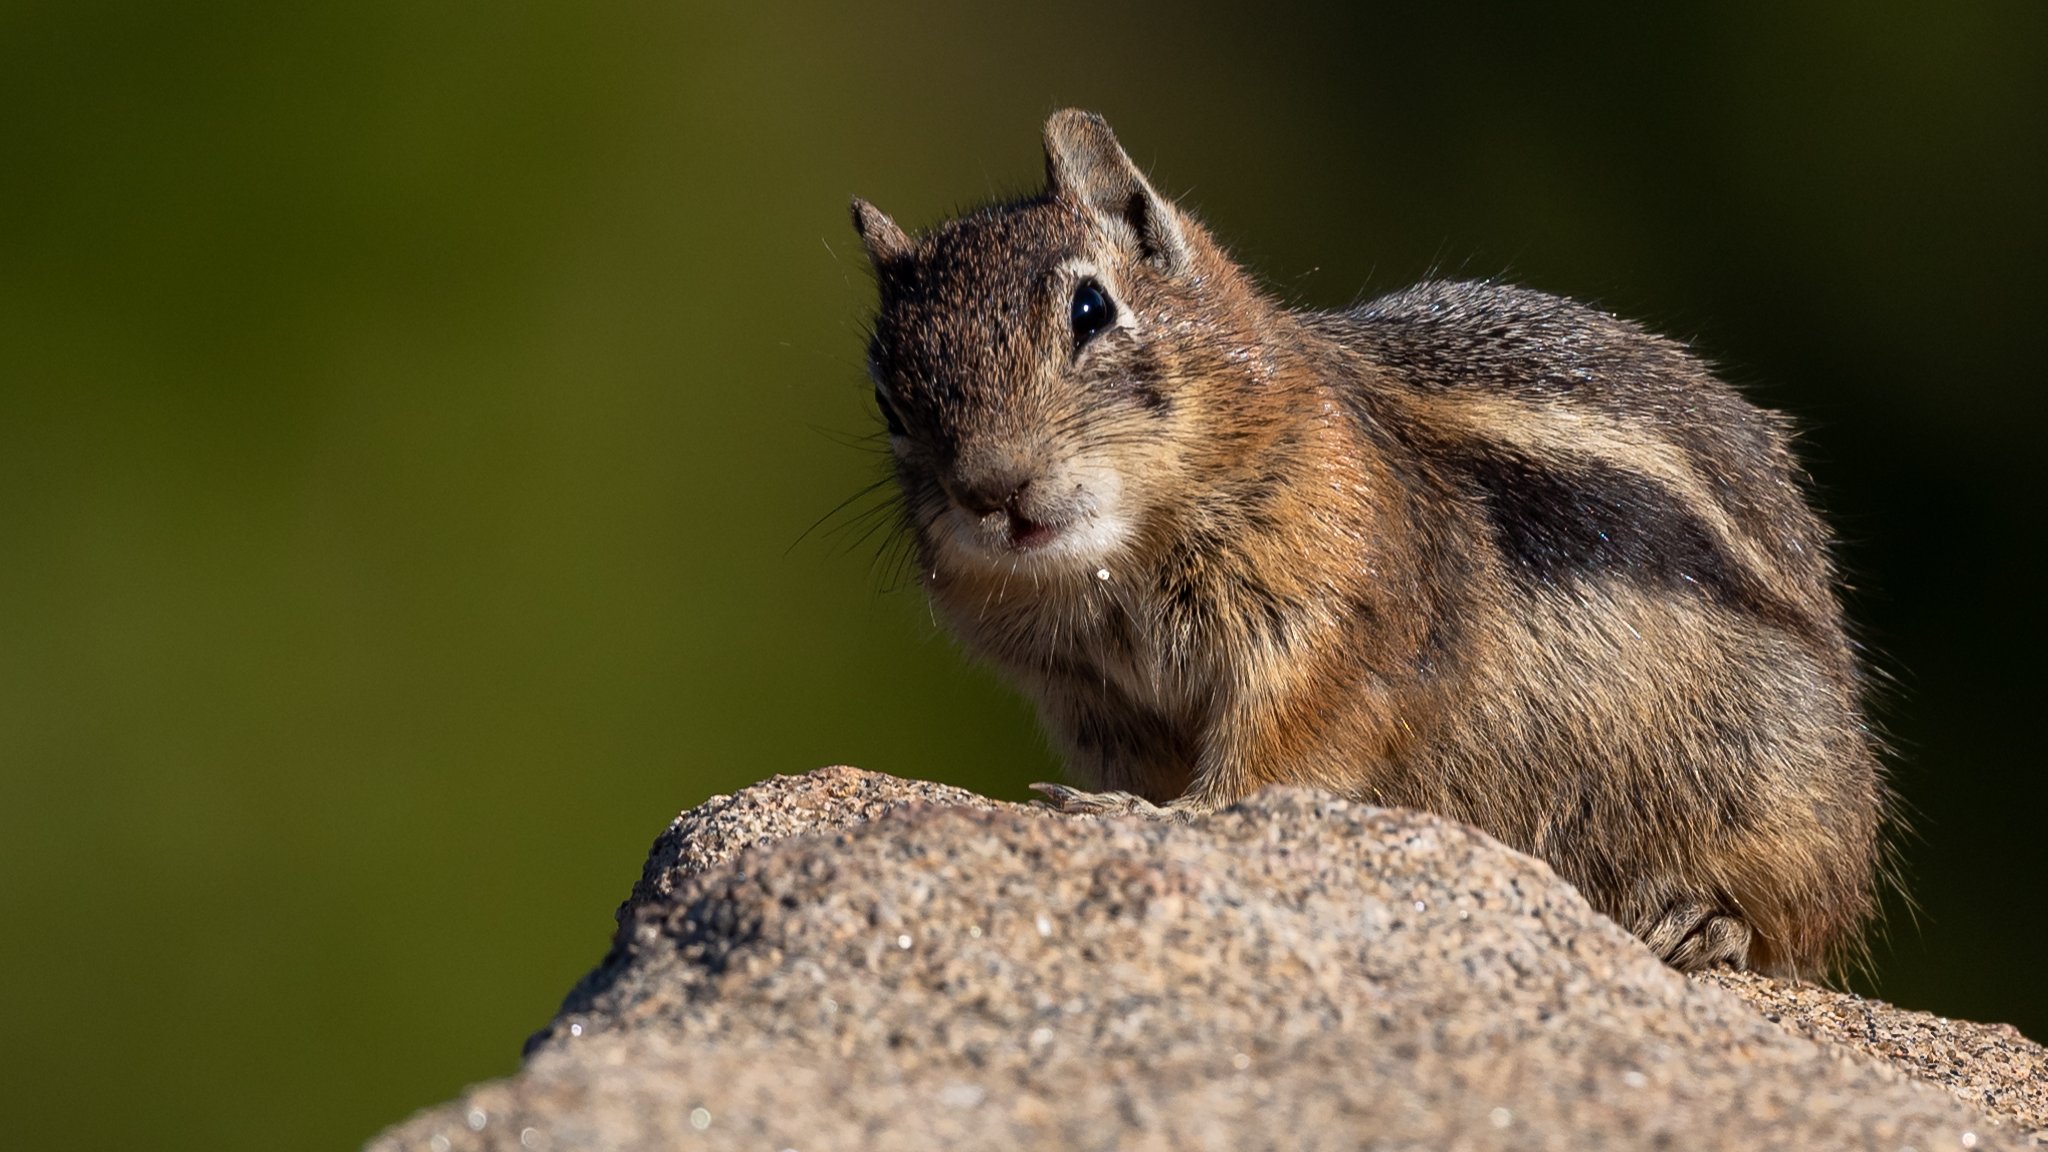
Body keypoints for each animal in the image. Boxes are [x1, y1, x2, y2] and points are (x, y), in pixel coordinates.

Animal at [849, 109, 1887, 978]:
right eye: (888, 401)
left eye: (1092, 310)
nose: (993, 491)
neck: (1123, 566)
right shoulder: (1091, 702)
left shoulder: (1338, 629)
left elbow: (1276, 757)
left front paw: (1164, 818)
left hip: (1767, 781)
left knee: (1798, 925)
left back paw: (1709, 923)